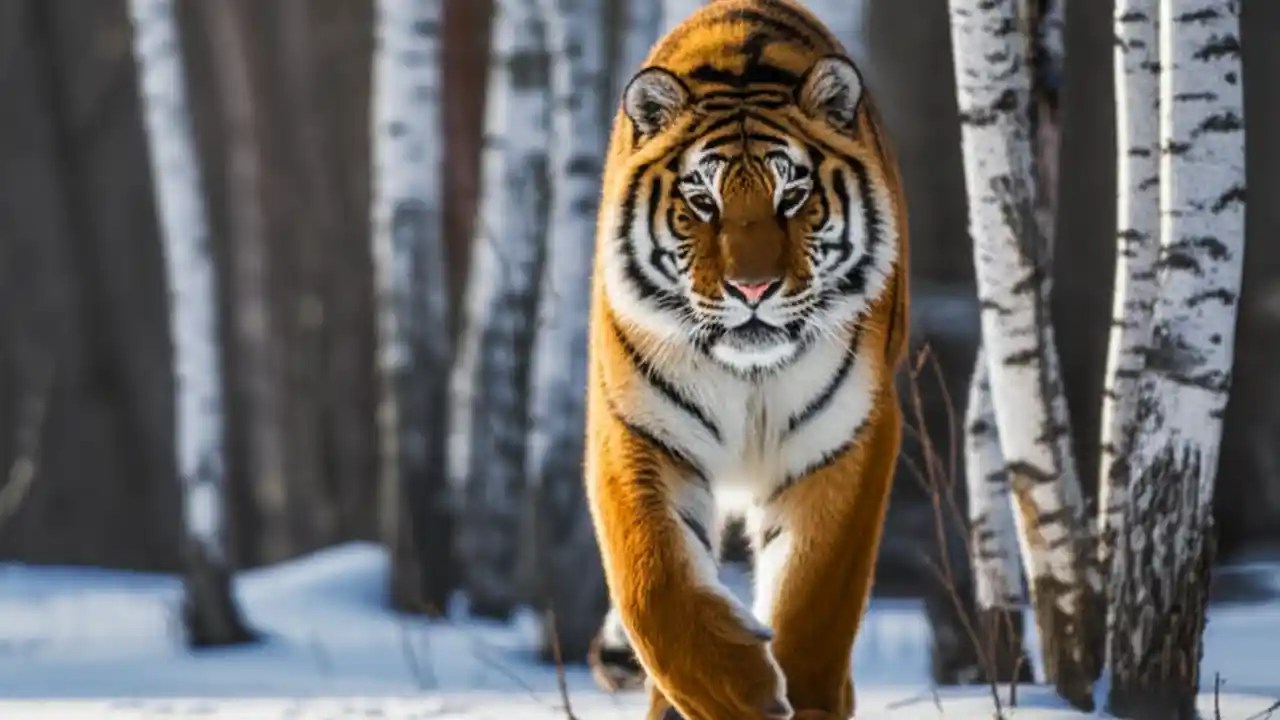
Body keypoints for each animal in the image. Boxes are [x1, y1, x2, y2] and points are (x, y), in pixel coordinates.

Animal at [582, 1, 910, 718]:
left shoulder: (848, 435)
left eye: (793, 197)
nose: (753, 289)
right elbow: (653, 585)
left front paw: (801, 697)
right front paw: (743, 693)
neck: (748, 374)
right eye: (703, 201)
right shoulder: (636, 429)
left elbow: (816, 600)